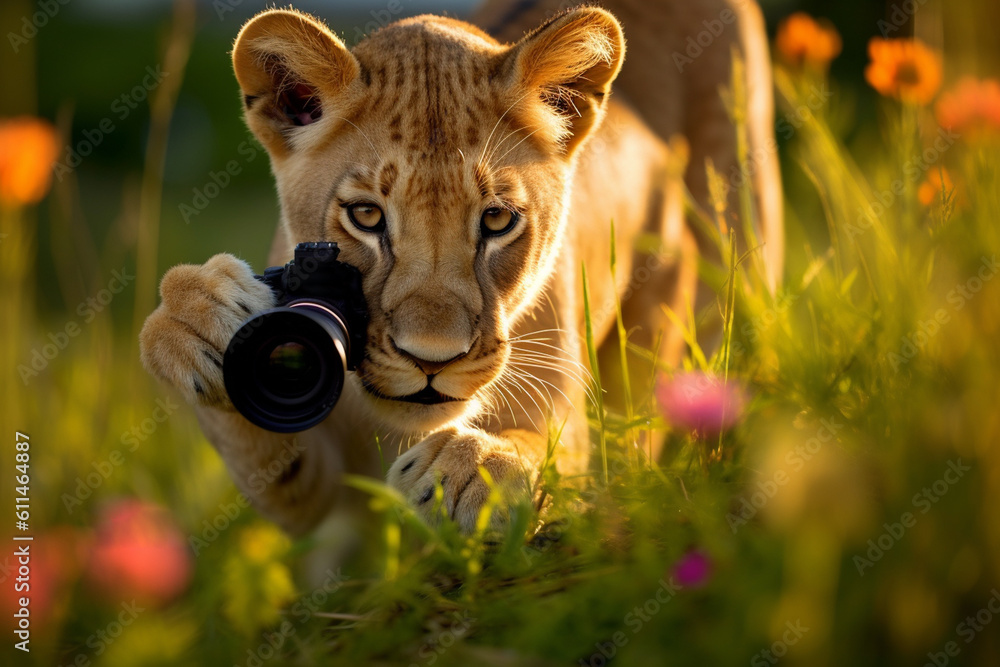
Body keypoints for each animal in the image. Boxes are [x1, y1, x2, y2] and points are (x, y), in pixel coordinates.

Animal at [139, 0, 781, 536]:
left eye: (496, 220)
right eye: (366, 215)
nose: (432, 360)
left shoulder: (568, 417)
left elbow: (540, 448)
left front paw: (475, 464)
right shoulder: (318, 495)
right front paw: (198, 318)